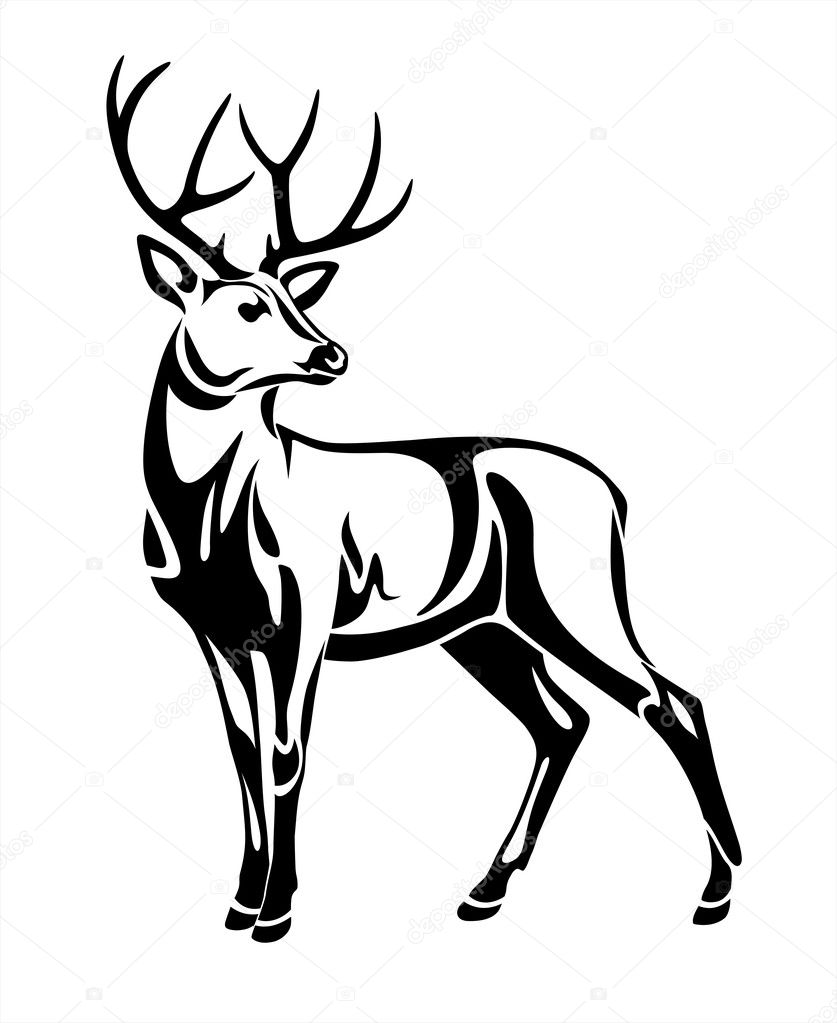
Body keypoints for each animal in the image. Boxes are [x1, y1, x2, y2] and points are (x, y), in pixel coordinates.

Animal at [107, 58, 741, 943]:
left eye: (299, 300)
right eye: (247, 304)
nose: (330, 354)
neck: (206, 520)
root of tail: (614, 493)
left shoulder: (304, 615)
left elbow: (286, 751)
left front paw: (277, 910)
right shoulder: (212, 629)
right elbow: (239, 751)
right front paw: (238, 901)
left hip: (571, 603)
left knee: (669, 699)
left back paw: (715, 892)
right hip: (484, 628)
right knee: (563, 720)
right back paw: (485, 889)